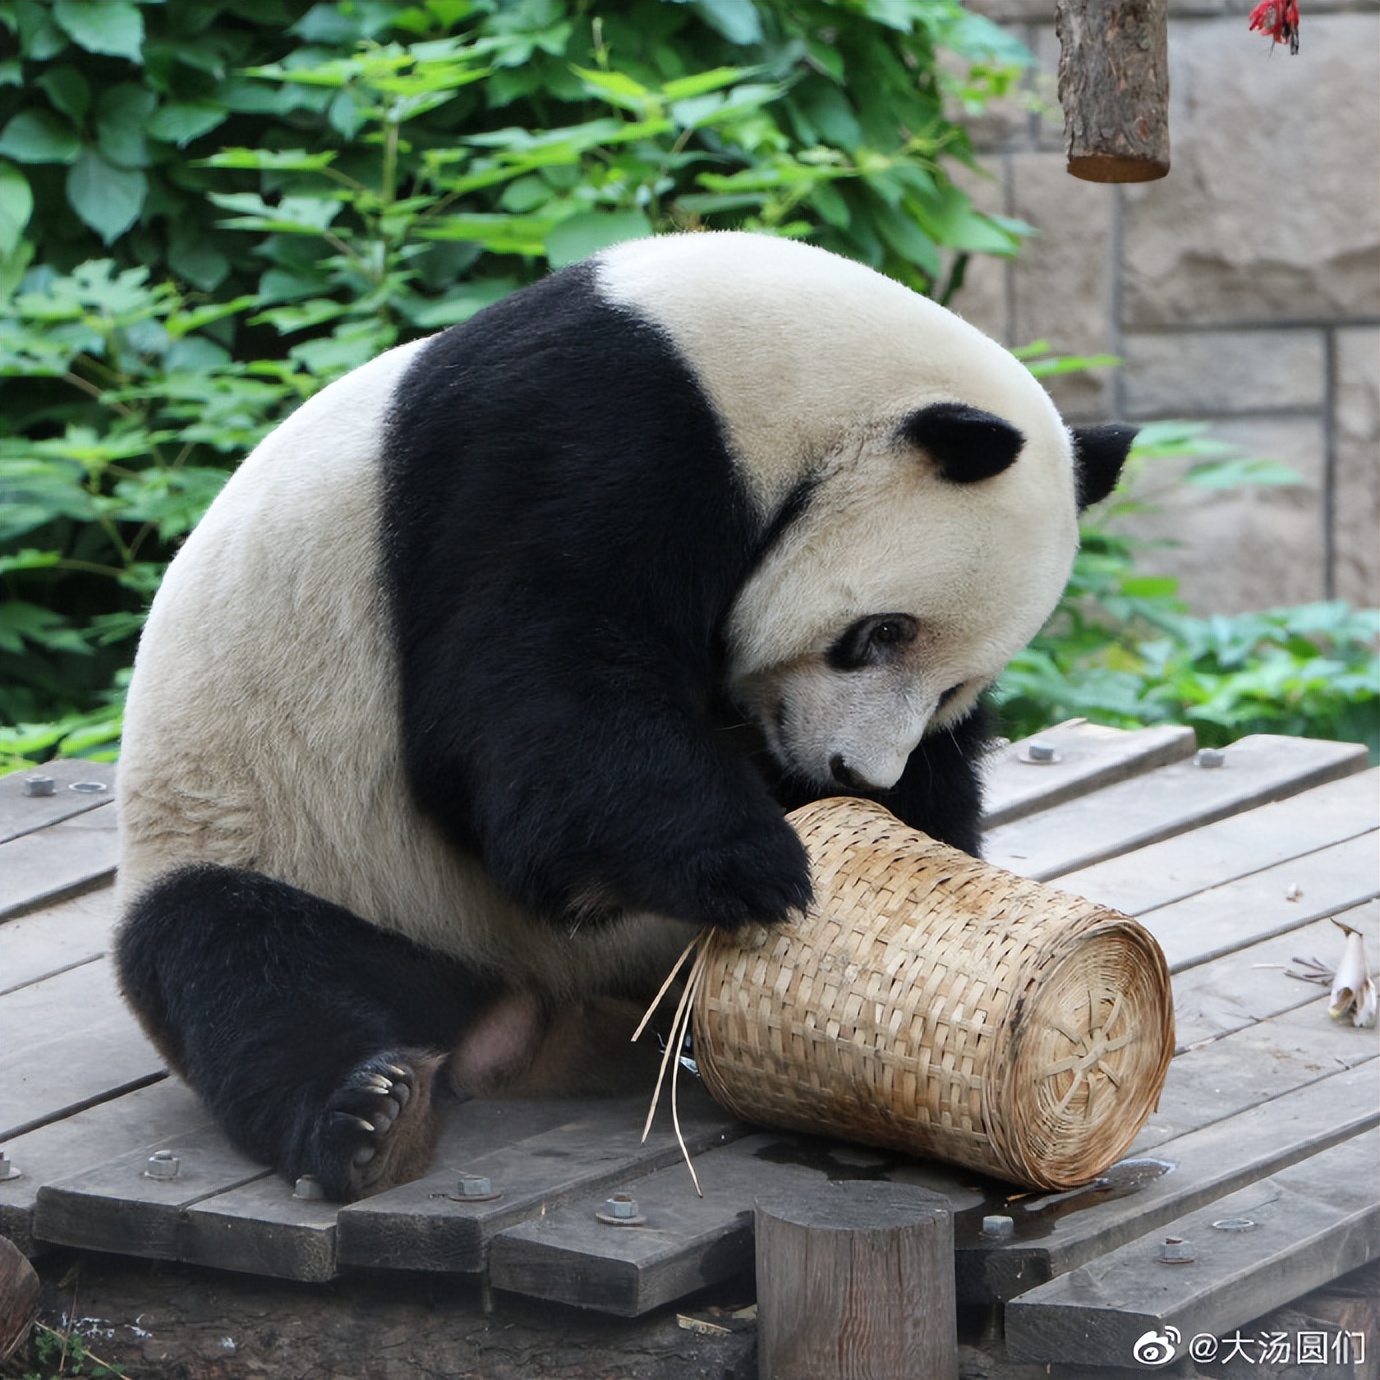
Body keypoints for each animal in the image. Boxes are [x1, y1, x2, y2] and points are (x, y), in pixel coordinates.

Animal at [114, 231, 1133, 1201]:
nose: (852, 774)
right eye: (881, 633)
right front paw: (754, 866)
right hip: (286, 837)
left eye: (955, 689)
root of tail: (524, 1021)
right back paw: (366, 1118)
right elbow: (537, 683)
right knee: (245, 967)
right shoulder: (582, 430)